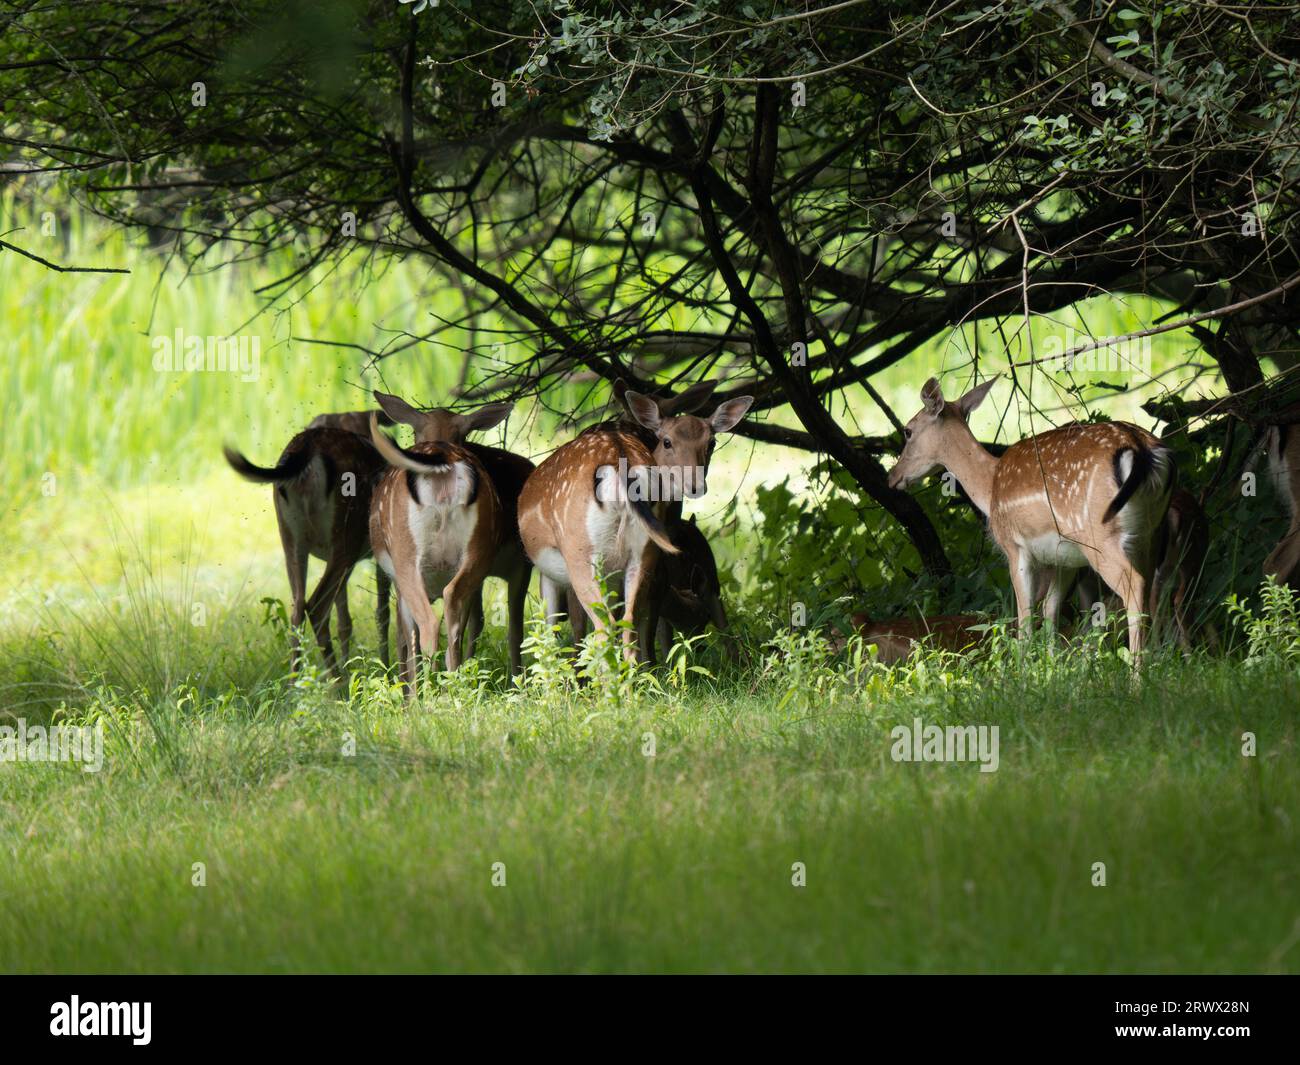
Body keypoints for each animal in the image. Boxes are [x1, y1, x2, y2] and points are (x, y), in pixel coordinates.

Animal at [368, 390, 533, 677]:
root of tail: (442, 463)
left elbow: (405, 639)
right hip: (478, 549)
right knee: (459, 615)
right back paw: (456, 680)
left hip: (405, 554)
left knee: (429, 625)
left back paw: (430, 685)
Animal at [518, 389, 753, 661]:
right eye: (667, 442)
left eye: (712, 443)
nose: (695, 485)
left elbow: (558, 631)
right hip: (643, 552)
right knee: (629, 623)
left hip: (581, 553)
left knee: (604, 627)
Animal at [887, 377, 1175, 657]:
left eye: (908, 430)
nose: (892, 476)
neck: (989, 488)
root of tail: (1142, 448)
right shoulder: (1064, 558)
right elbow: (1049, 609)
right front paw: (1050, 663)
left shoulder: (1015, 547)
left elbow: (1025, 617)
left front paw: (1025, 666)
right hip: (1152, 532)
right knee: (1155, 590)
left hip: (1099, 534)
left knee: (1134, 585)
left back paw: (1136, 670)